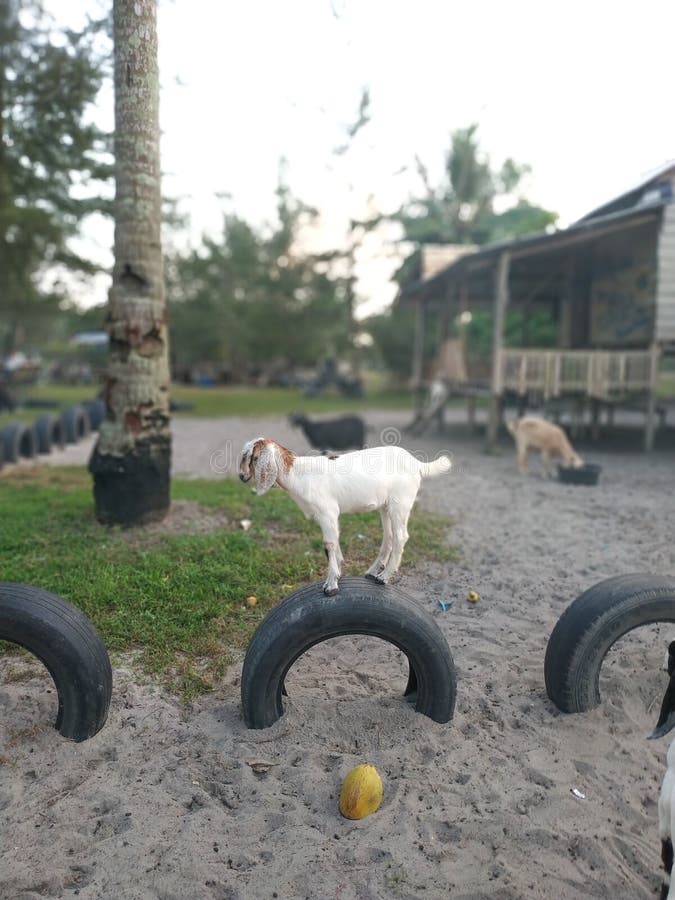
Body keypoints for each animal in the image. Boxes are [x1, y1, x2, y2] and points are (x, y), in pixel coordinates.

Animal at [238, 437, 451, 595]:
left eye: (253, 457)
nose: (241, 477)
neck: (298, 474)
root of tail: (417, 463)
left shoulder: (327, 513)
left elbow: (329, 545)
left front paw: (331, 584)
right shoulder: (328, 517)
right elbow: (335, 544)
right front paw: (339, 570)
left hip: (401, 503)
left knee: (401, 537)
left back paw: (384, 577)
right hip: (385, 506)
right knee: (388, 537)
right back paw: (373, 572)